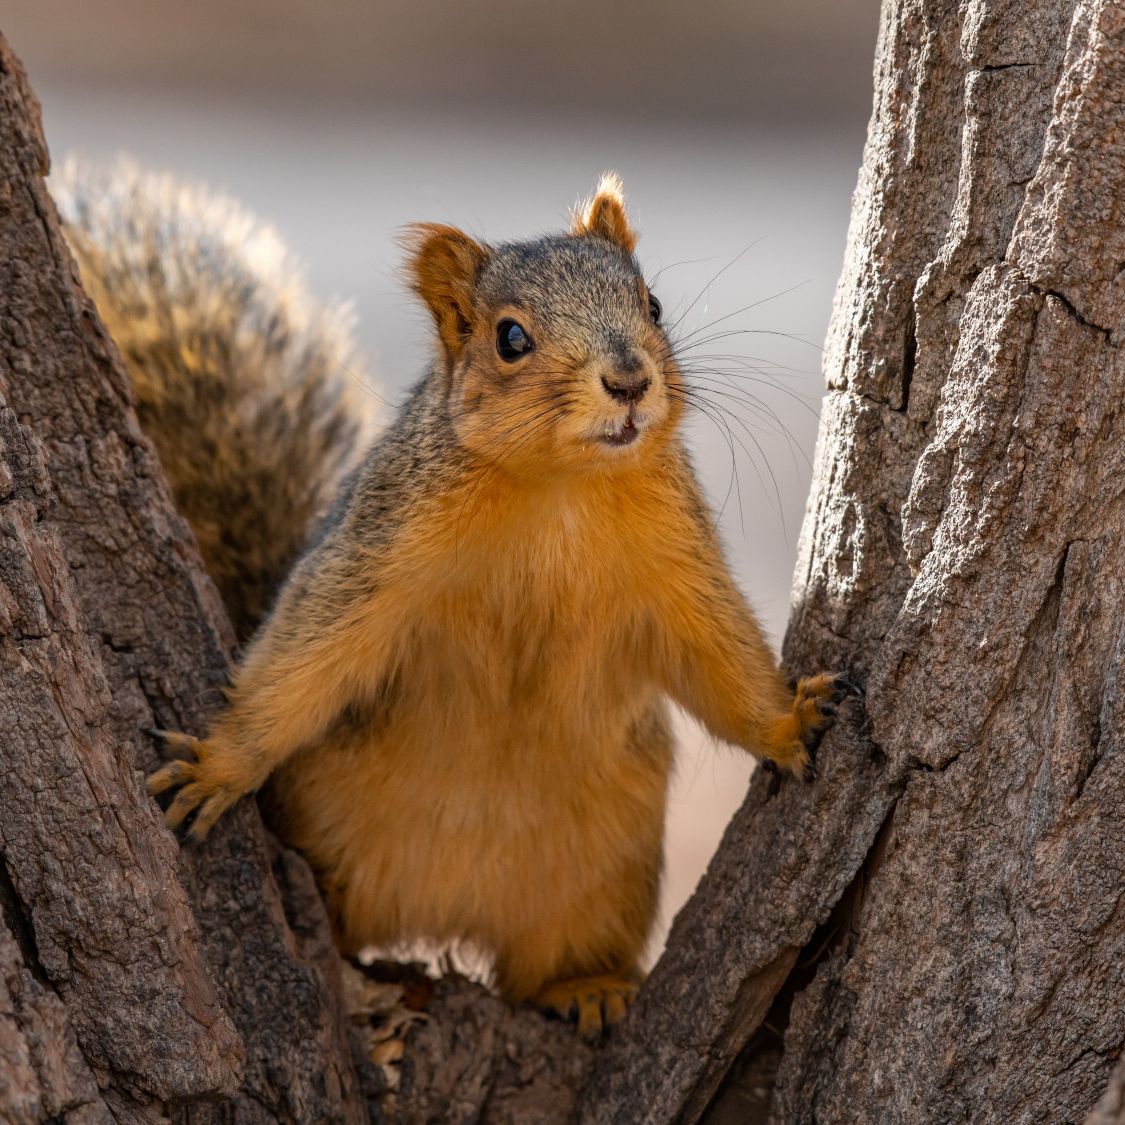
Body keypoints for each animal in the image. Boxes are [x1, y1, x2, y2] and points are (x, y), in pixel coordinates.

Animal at [59, 163, 842, 1038]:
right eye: (510, 338)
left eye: (652, 304)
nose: (630, 381)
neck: (560, 489)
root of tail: (448, 913)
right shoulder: (379, 550)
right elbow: (308, 653)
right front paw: (221, 763)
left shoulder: (675, 562)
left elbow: (718, 651)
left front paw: (788, 721)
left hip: (603, 877)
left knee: (550, 961)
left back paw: (586, 985)